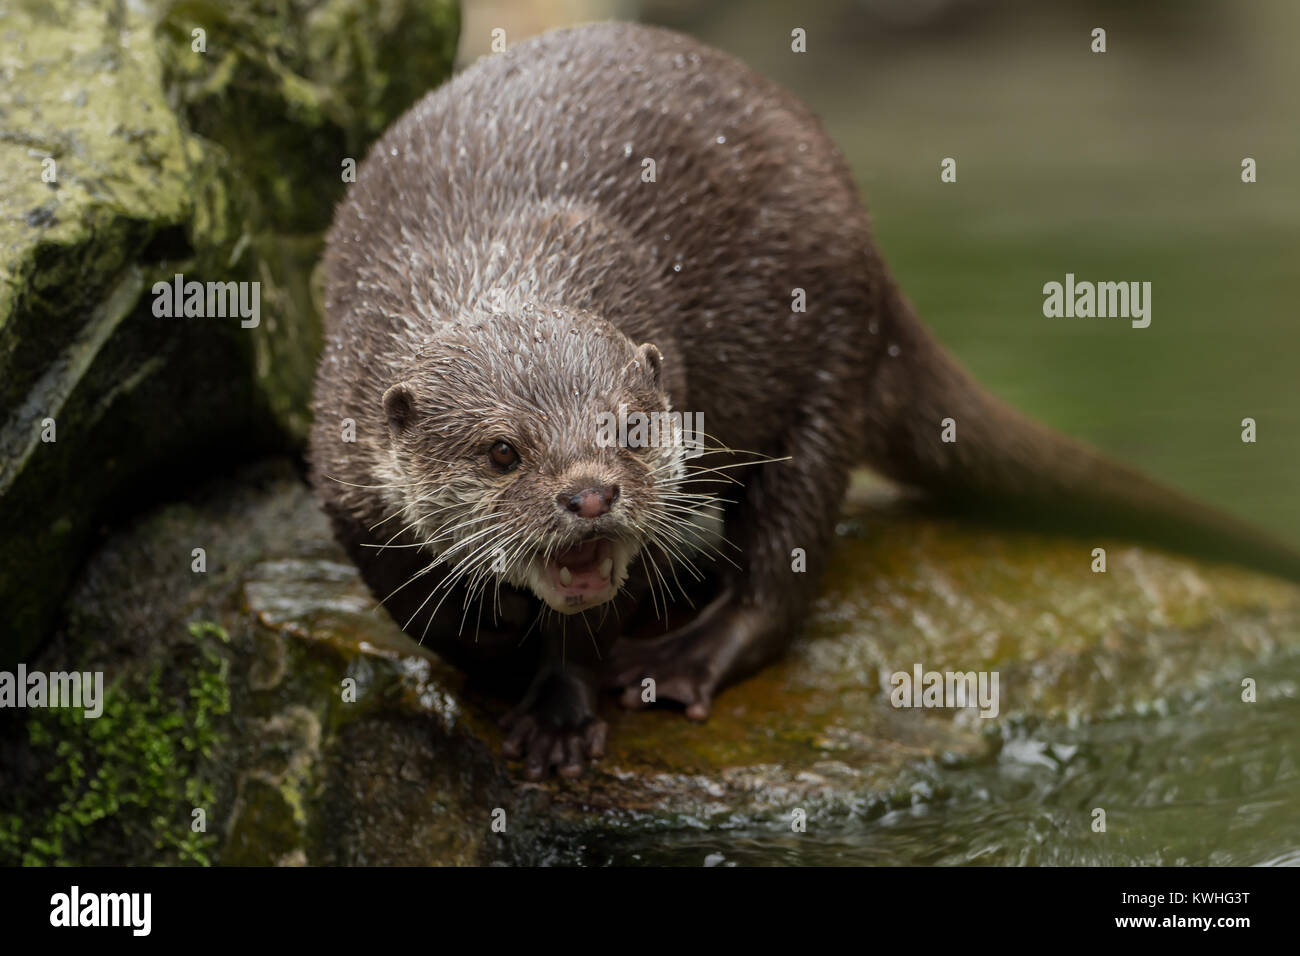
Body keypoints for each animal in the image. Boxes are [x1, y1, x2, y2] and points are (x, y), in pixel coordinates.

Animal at [310, 22, 1300, 779]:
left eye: (630, 430)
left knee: (785, 564)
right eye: (502, 451)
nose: (590, 494)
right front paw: (492, 646)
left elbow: (596, 626)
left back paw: (687, 655)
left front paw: (559, 712)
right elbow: (415, 605)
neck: (494, 258)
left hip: (828, 363)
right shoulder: (343, 456)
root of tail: (868, 245)